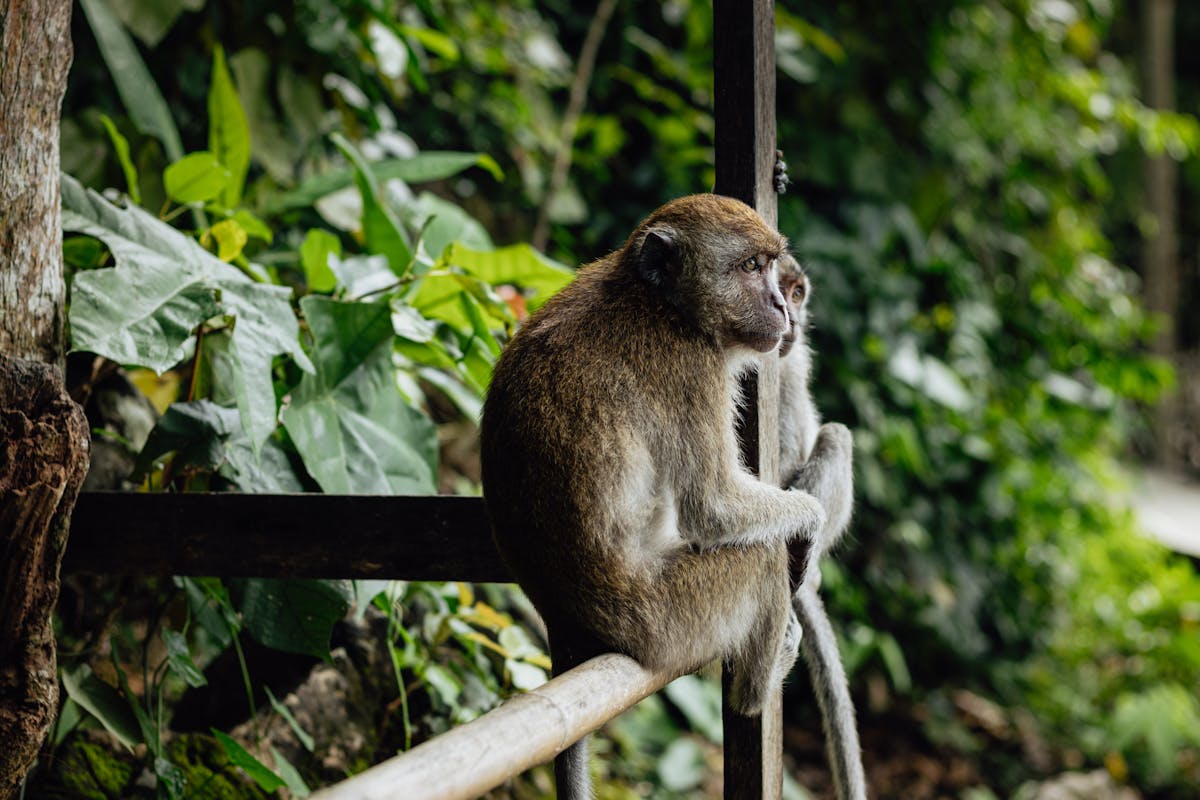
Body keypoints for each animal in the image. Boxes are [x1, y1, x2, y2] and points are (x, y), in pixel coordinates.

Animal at [481, 195, 837, 800]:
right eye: (750, 267)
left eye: (772, 268)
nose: (781, 309)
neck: (661, 305)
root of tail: (561, 620)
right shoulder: (692, 369)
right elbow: (715, 508)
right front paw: (809, 519)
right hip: (673, 622)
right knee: (761, 559)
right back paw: (757, 690)